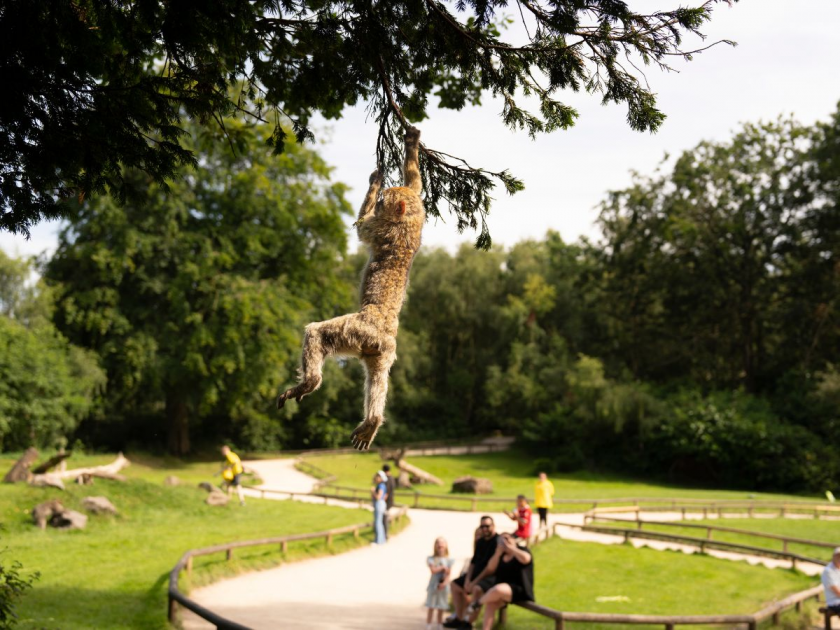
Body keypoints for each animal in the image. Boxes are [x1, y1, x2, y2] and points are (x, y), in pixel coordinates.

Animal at [276, 126, 426, 451]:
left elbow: (361, 226)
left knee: (317, 332)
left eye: (383, 201)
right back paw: (372, 422)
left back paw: (309, 383)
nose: (380, 201)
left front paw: (375, 181)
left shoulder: (381, 227)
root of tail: (384, 331)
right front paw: (411, 142)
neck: (407, 218)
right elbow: (414, 181)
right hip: (381, 351)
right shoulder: (418, 211)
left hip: (358, 330)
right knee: (378, 380)